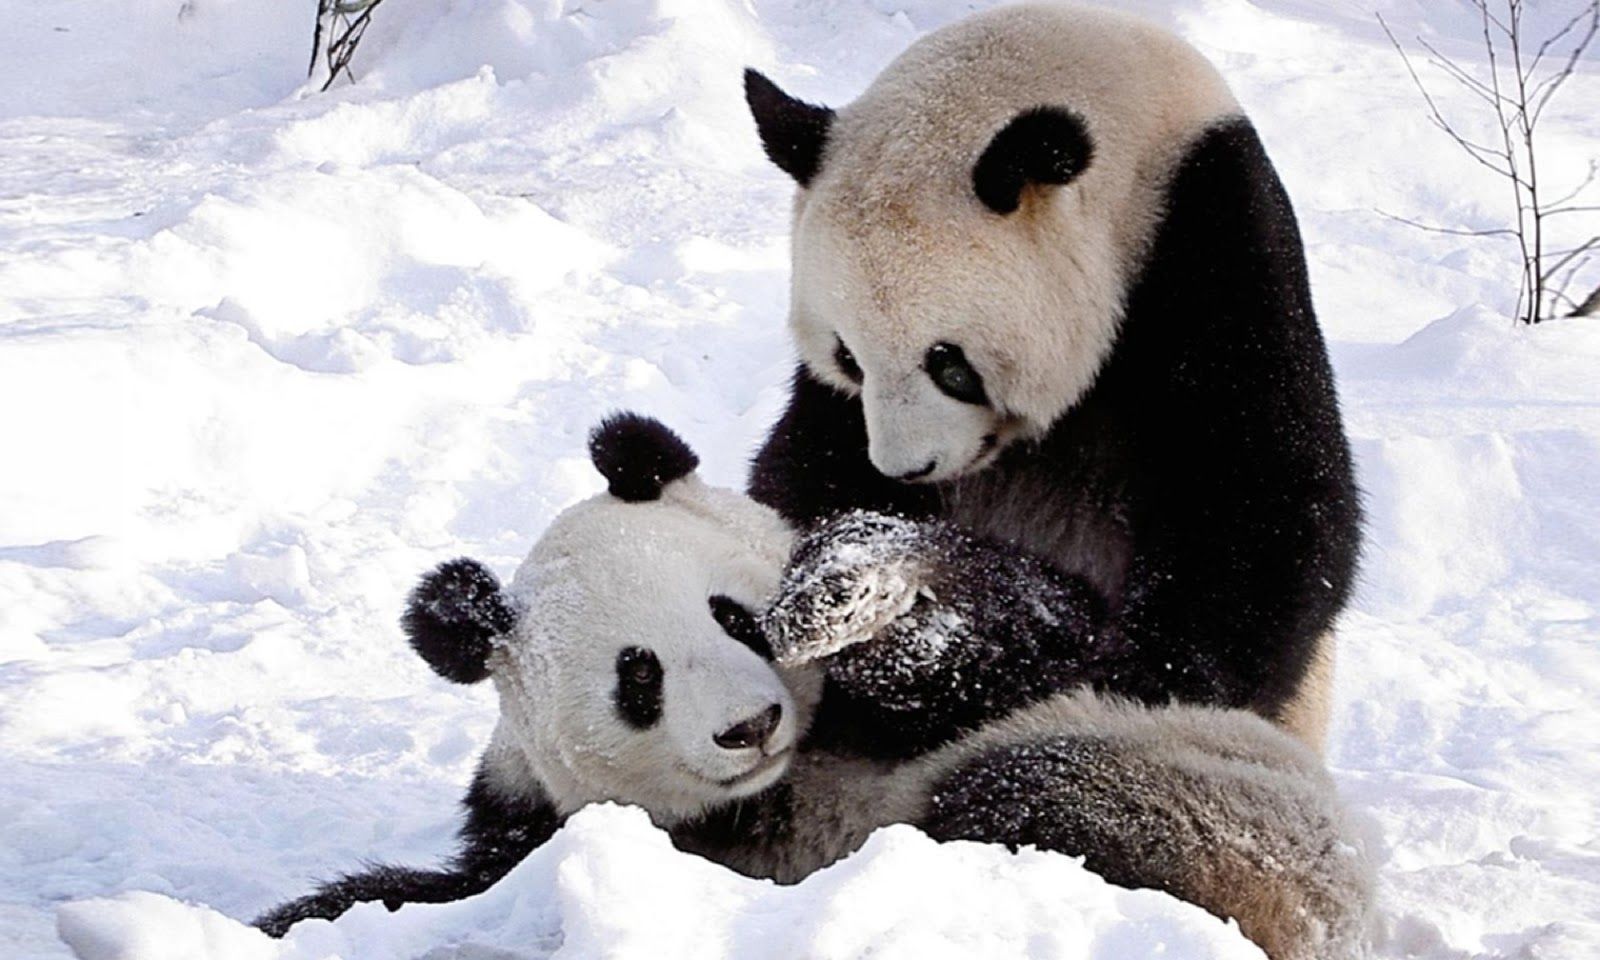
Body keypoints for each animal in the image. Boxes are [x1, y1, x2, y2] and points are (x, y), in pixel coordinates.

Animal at [256, 415, 1371, 960]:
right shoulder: (541, 819)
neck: (781, 787)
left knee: (1022, 790)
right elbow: (442, 890)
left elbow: (1076, 641)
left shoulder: (1055, 683)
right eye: (637, 677)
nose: (750, 725)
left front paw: (862, 590)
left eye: (733, 616)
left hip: (1210, 799)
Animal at [742, 3, 1361, 755]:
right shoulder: (832, 410)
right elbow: (798, 471)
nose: (904, 470)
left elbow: (1265, 513)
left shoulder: (1214, 247)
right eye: (849, 360)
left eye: (951, 365)